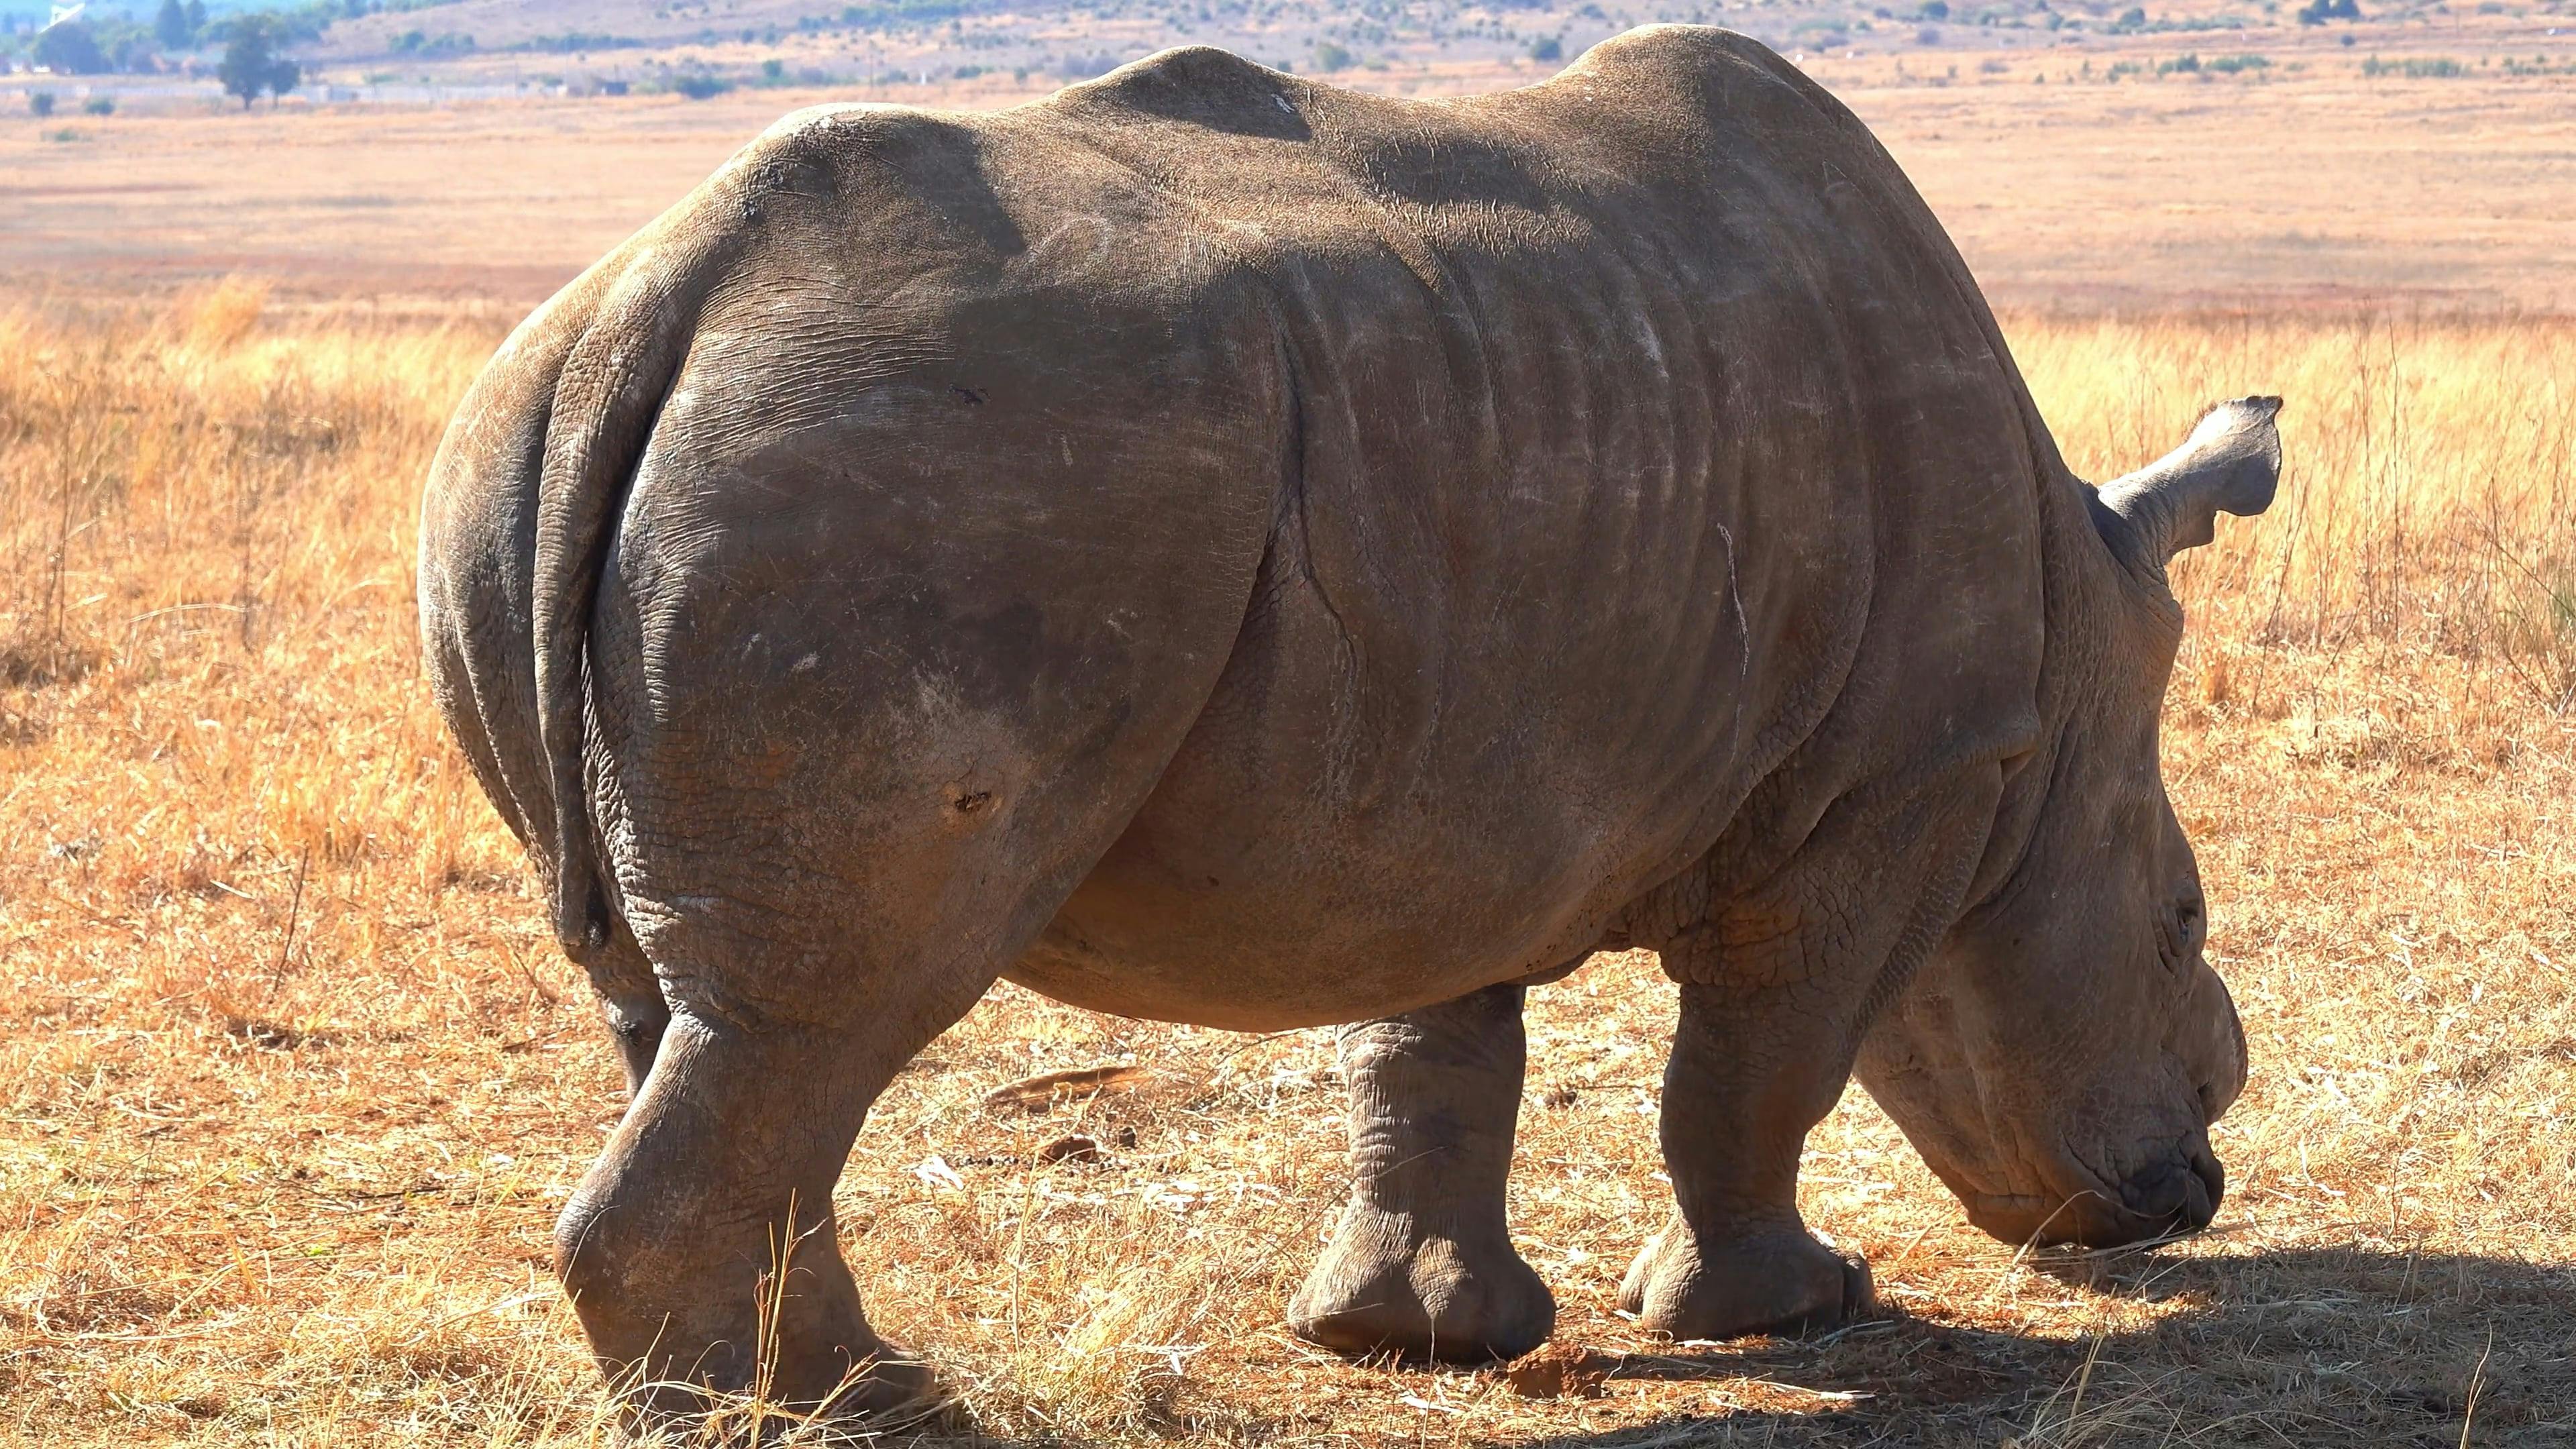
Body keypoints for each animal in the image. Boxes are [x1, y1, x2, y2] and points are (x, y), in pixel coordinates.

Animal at [418, 27, 2276, 1423]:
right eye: (2180, 923)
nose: (2181, 1197)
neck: (2058, 681)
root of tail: (657, 305)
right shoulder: (1899, 776)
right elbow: (1761, 1061)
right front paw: (1792, 1312)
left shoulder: (1462, 730)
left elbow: (1436, 1044)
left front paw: (1415, 1336)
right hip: (908, 475)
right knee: (820, 1015)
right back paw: (861, 1409)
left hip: (529, 469)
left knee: (697, 1018)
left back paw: (827, 1382)